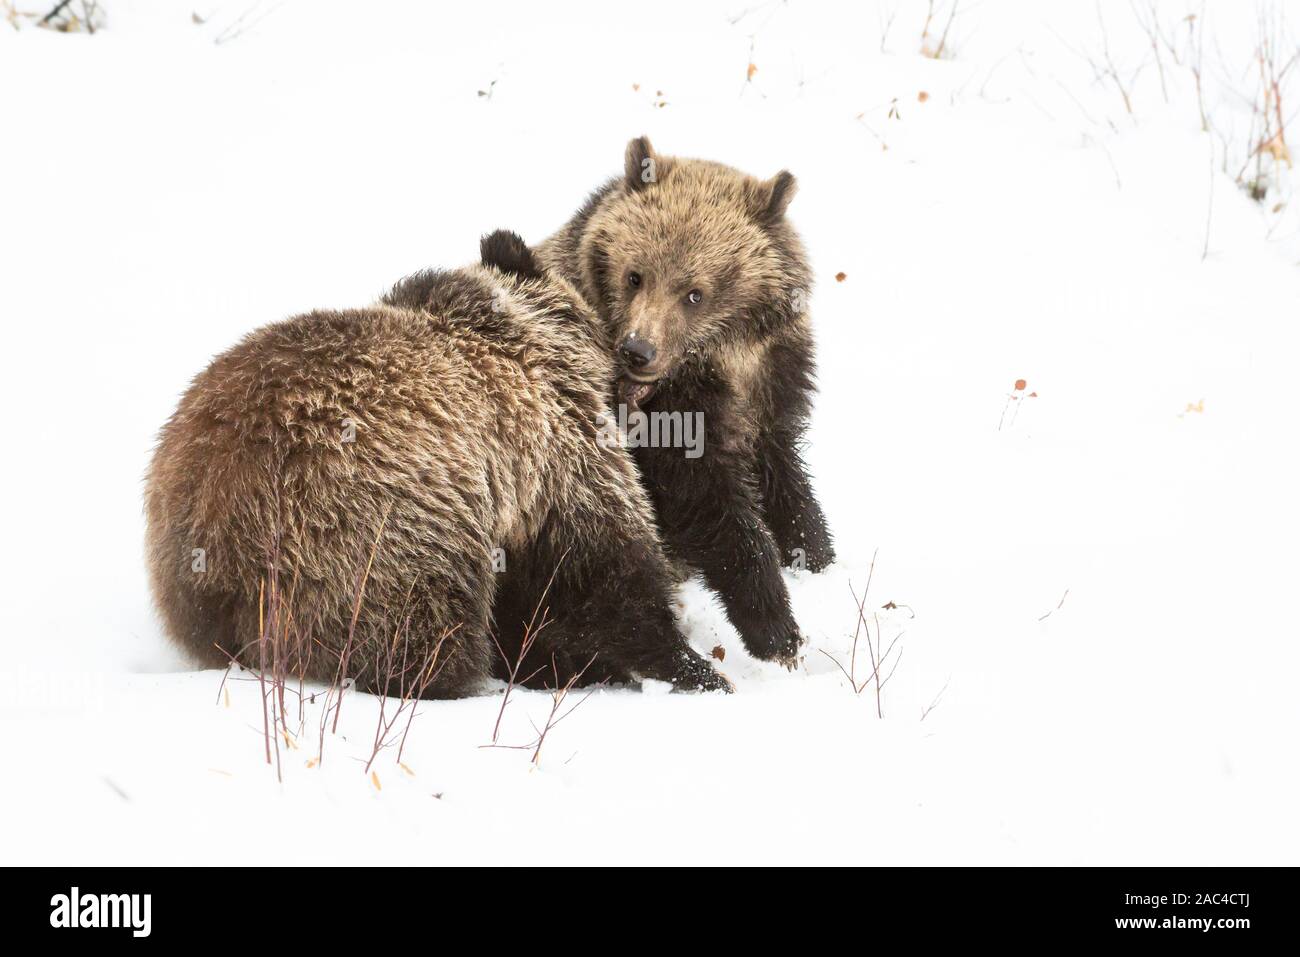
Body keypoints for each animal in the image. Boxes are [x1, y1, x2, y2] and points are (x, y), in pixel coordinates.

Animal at [143, 230, 728, 697]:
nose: (638, 358)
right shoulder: (554, 452)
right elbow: (603, 570)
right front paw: (692, 669)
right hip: (374, 527)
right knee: (423, 627)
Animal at [536, 137, 835, 667]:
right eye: (635, 276)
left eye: (694, 293)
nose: (637, 350)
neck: (720, 360)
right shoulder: (668, 422)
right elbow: (712, 506)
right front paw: (776, 628)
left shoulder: (771, 386)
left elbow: (786, 478)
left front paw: (815, 554)